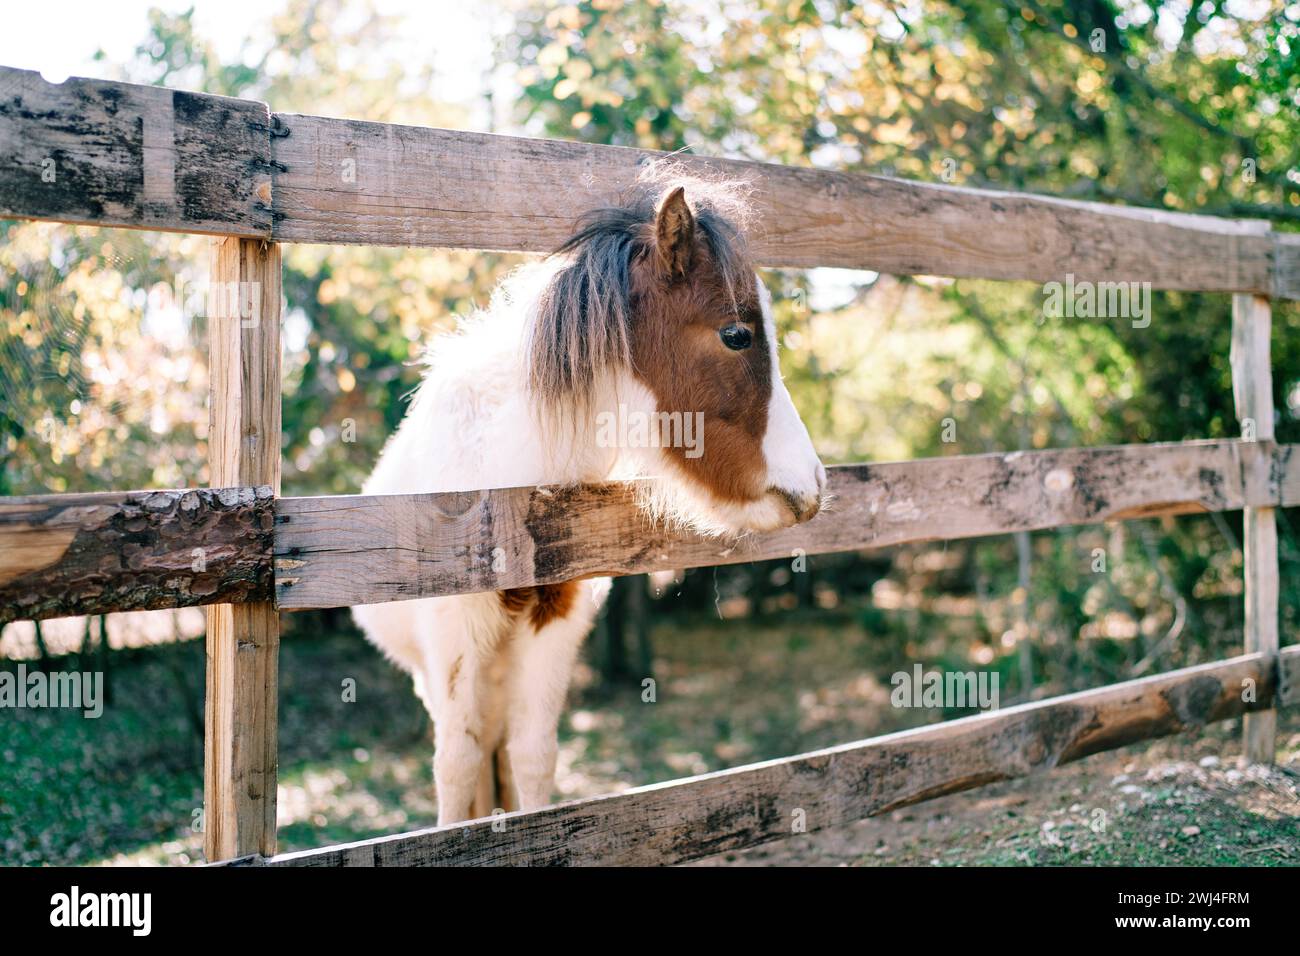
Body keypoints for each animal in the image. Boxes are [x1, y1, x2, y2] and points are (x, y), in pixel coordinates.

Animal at [352, 165, 827, 826]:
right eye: (736, 335)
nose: (811, 487)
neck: (501, 484)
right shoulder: (453, 635)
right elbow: (456, 767)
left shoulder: (556, 619)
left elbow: (532, 757)